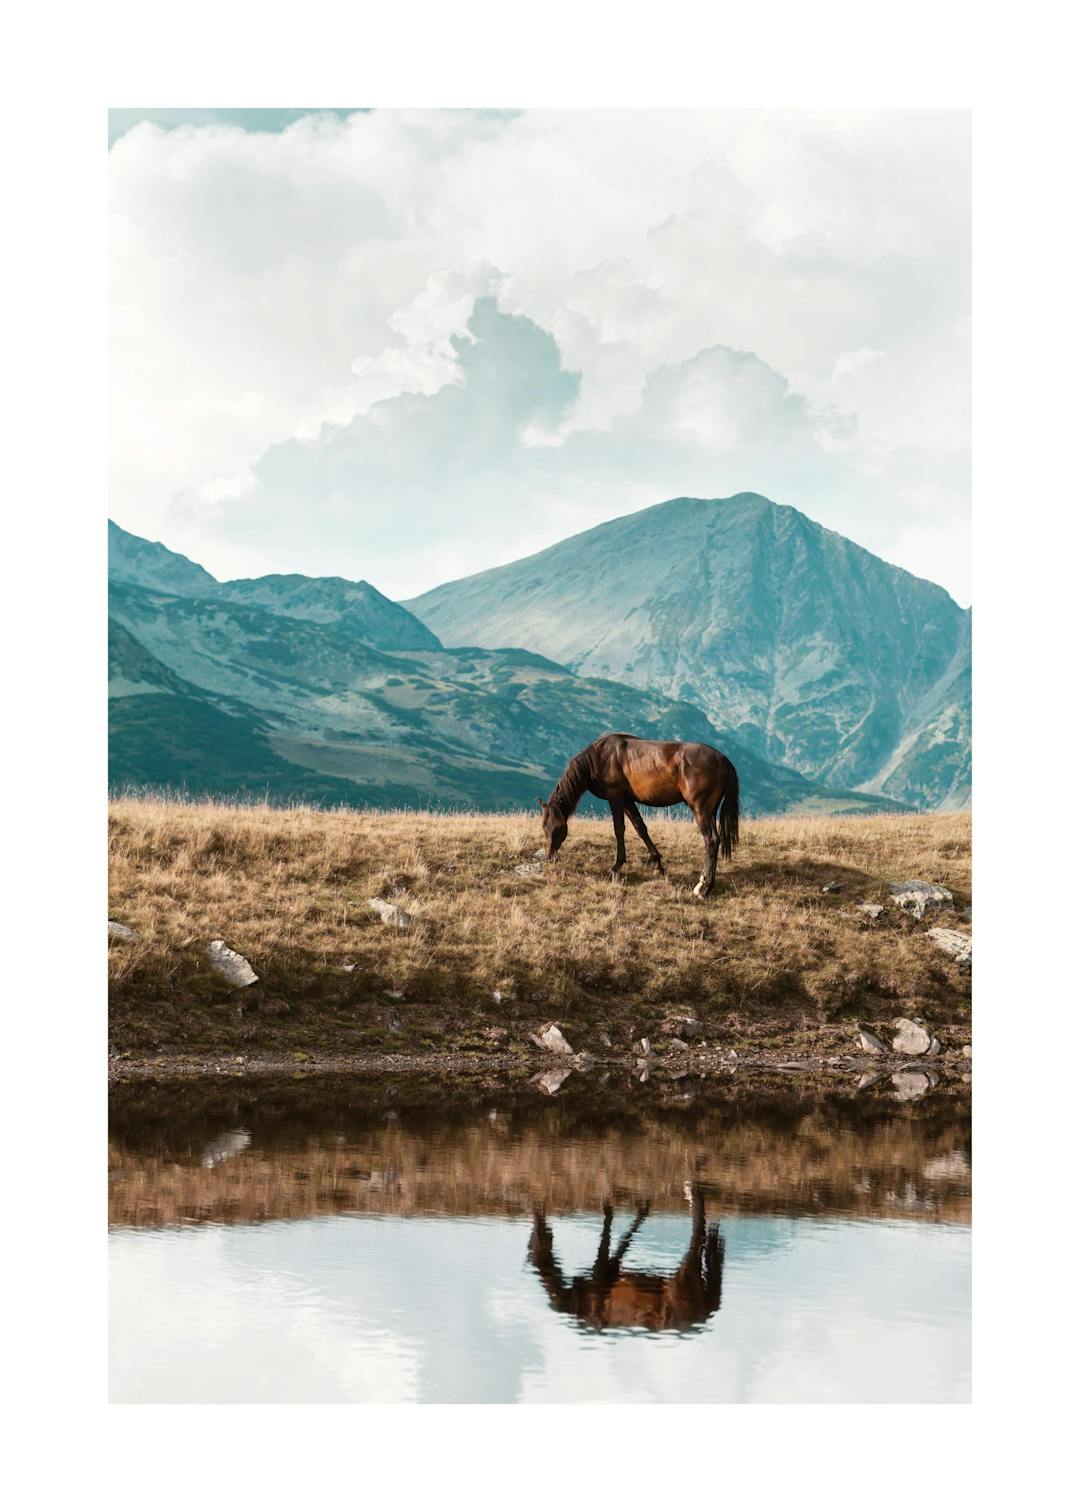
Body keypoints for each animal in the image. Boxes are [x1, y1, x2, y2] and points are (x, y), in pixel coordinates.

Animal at [527, 1184, 725, 1333]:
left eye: (533, 1240)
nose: (538, 1212)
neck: (575, 1302)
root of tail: (706, 1311)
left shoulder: (601, 1273)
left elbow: (608, 1232)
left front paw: (609, 1205)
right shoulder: (611, 1269)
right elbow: (623, 1240)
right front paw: (642, 1207)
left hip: (684, 1275)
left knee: (697, 1236)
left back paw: (693, 1193)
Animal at [538, 732, 739, 898]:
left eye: (559, 828)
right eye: (544, 828)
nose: (550, 857)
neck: (600, 757)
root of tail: (724, 760)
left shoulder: (615, 797)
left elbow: (619, 829)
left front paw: (617, 866)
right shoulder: (627, 800)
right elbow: (640, 828)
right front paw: (658, 864)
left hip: (701, 811)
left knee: (711, 840)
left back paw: (703, 887)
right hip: (710, 812)